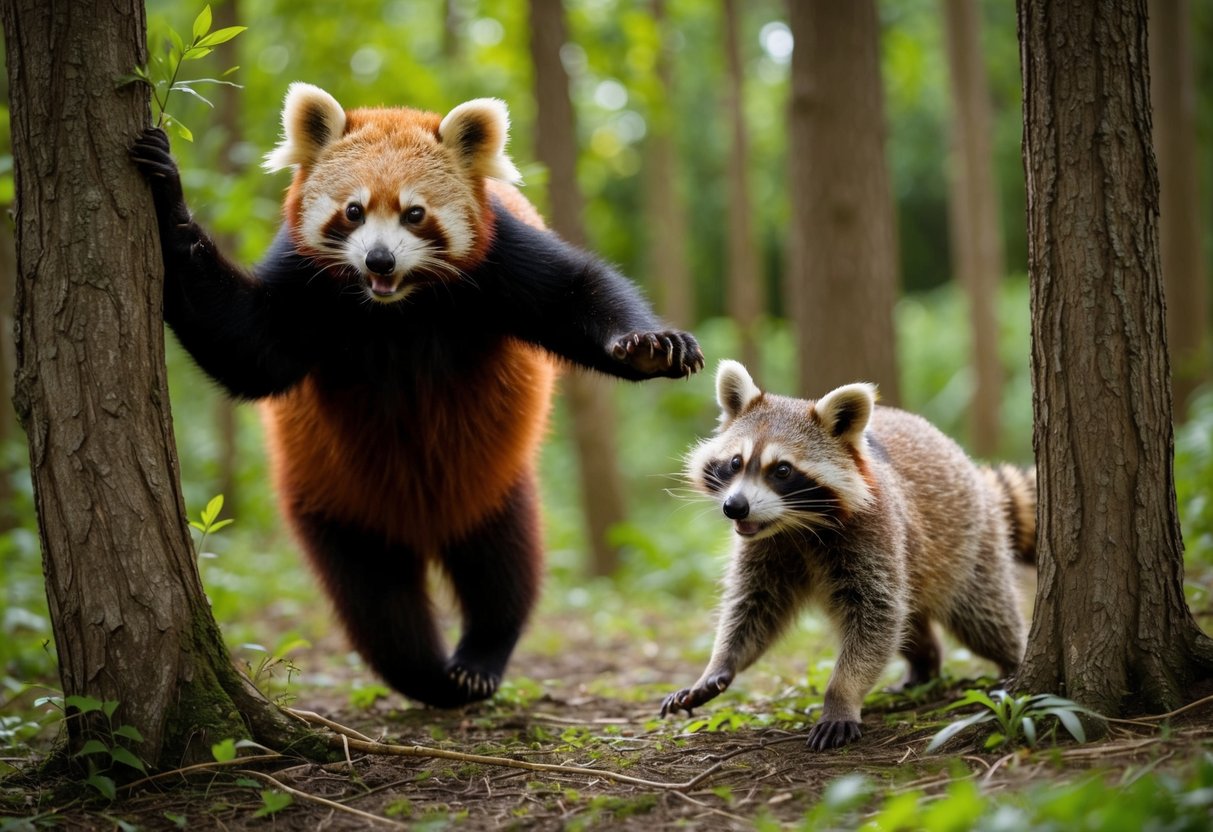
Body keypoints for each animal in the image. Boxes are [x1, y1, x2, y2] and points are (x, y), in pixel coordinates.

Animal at [659, 361, 1036, 750]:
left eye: (782, 470)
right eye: (736, 462)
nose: (735, 507)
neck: (796, 525)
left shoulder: (874, 532)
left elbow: (875, 620)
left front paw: (841, 696)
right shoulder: (767, 548)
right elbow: (752, 609)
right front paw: (718, 665)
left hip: (969, 541)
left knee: (984, 614)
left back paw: (1011, 659)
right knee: (910, 620)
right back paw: (924, 663)